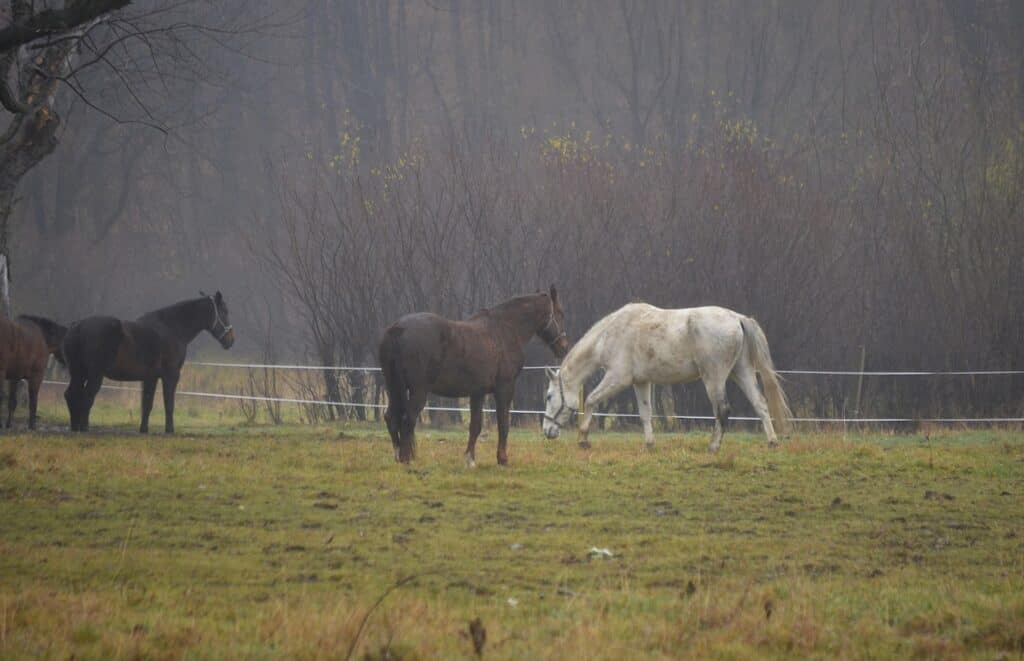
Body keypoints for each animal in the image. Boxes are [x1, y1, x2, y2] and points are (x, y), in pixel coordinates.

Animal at [61, 292, 235, 433]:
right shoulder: (171, 375)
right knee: (86, 397)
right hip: (94, 375)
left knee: (72, 394)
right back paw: (84, 428)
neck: (172, 328)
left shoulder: (150, 378)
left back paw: (75, 427)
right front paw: (170, 430)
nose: (231, 340)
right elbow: (168, 403)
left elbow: (147, 403)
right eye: (224, 311)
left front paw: (143, 429)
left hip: (79, 373)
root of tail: (77, 326)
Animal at [379, 287, 569, 466]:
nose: (564, 347)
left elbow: (475, 426)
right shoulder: (504, 388)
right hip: (418, 391)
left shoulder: (478, 392)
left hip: (393, 388)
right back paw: (405, 460)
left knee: (390, 417)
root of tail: (397, 328)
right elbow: (503, 424)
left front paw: (470, 460)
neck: (505, 330)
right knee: (407, 420)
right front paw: (502, 459)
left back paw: (398, 456)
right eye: (560, 313)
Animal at [542, 303, 791, 452]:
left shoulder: (618, 378)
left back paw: (713, 446)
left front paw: (583, 438)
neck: (611, 333)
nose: (546, 431)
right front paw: (649, 444)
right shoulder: (641, 382)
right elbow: (645, 414)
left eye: (548, 396)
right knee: (760, 404)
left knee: (722, 410)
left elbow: (592, 399)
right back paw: (772, 441)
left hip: (714, 378)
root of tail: (737, 318)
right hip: (742, 372)